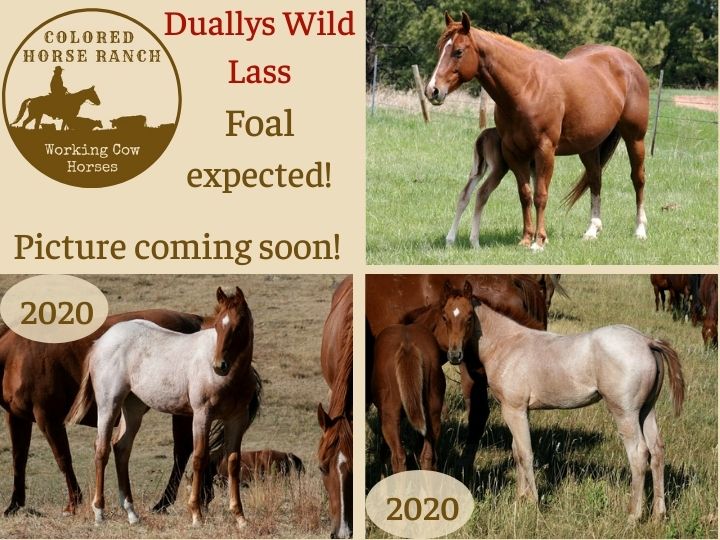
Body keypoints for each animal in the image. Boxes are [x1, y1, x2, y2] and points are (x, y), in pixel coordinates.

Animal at [0, 309, 210, 517]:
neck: (15, 355)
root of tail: (192, 319)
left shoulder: (48, 418)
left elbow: (63, 459)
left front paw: (73, 503)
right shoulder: (17, 418)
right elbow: (19, 459)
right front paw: (14, 504)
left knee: (181, 452)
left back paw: (165, 502)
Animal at [66, 287, 261, 529]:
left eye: (240, 325)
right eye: (217, 325)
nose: (219, 366)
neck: (232, 379)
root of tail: (101, 341)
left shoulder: (236, 419)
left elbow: (233, 462)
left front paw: (240, 517)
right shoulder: (201, 415)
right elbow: (199, 458)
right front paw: (196, 515)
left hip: (134, 408)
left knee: (121, 447)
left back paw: (132, 513)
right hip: (108, 403)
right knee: (101, 449)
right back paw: (99, 513)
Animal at [426, 12, 650, 250]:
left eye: (458, 51)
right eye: (440, 49)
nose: (432, 90)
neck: (527, 86)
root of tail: (628, 61)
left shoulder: (545, 150)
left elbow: (541, 195)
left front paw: (539, 241)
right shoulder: (514, 153)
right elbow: (525, 194)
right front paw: (526, 238)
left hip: (635, 138)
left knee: (638, 178)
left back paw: (640, 230)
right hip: (589, 147)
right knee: (595, 179)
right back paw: (592, 230)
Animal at [445, 285, 684, 520]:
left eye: (469, 317)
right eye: (445, 316)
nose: (455, 355)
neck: (507, 344)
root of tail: (646, 341)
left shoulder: (513, 409)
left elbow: (525, 453)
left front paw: (532, 502)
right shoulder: (520, 411)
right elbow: (517, 451)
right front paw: (520, 498)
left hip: (625, 413)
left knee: (639, 454)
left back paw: (633, 516)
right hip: (646, 411)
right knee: (657, 451)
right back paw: (658, 514)